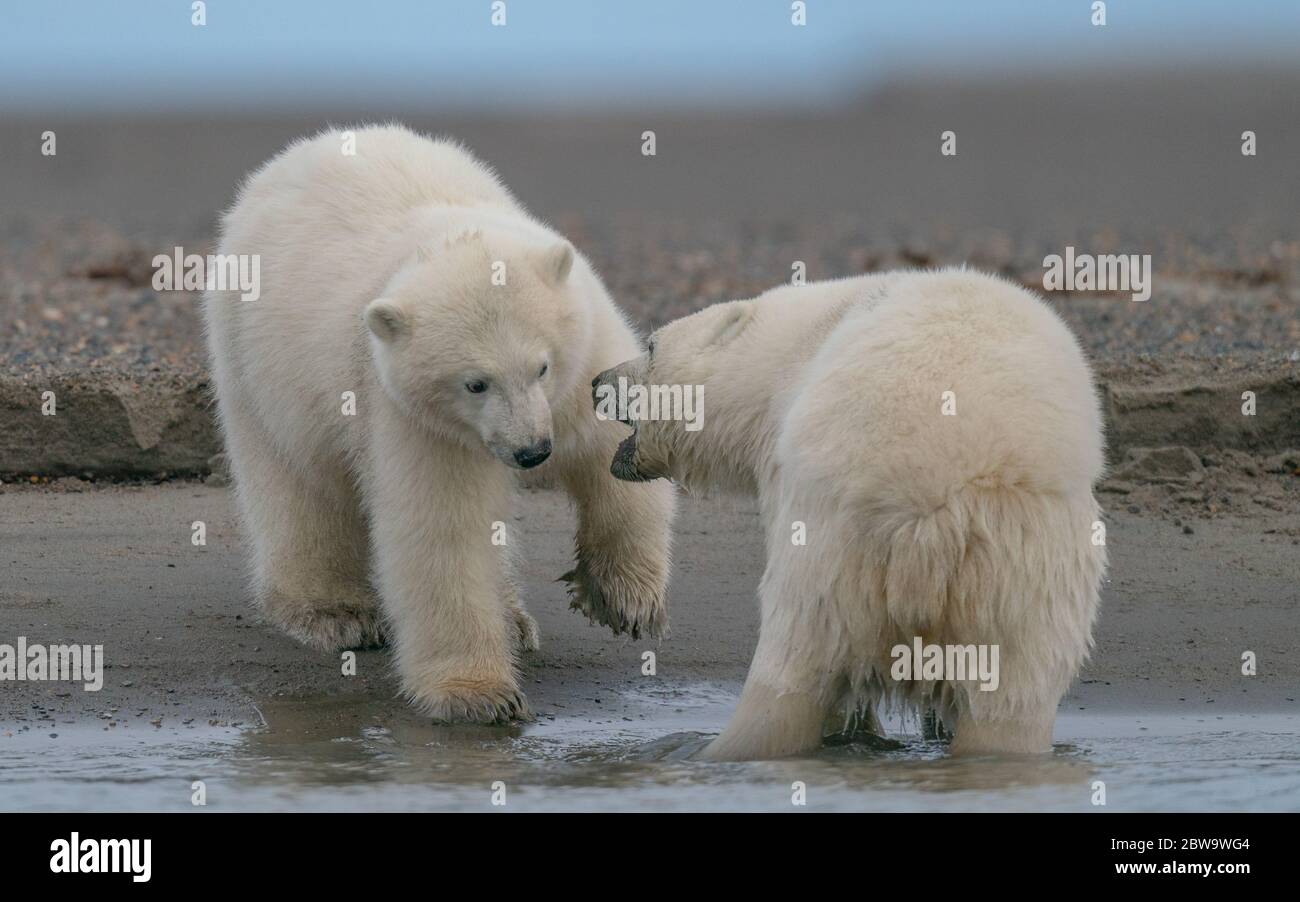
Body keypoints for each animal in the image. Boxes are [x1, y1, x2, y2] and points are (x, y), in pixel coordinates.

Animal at [202, 124, 675, 721]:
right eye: (474, 384)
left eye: (541, 366)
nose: (533, 451)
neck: (452, 235)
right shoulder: (410, 411)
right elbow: (443, 529)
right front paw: (479, 695)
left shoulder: (582, 356)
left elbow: (617, 443)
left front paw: (624, 598)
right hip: (256, 364)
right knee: (298, 489)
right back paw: (337, 614)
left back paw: (514, 620)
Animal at [593, 268, 1107, 760]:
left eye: (651, 346)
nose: (598, 383)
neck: (796, 348)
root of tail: (932, 512)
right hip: (1023, 574)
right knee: (1012, 698)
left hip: (836, 550)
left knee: (792, 666)